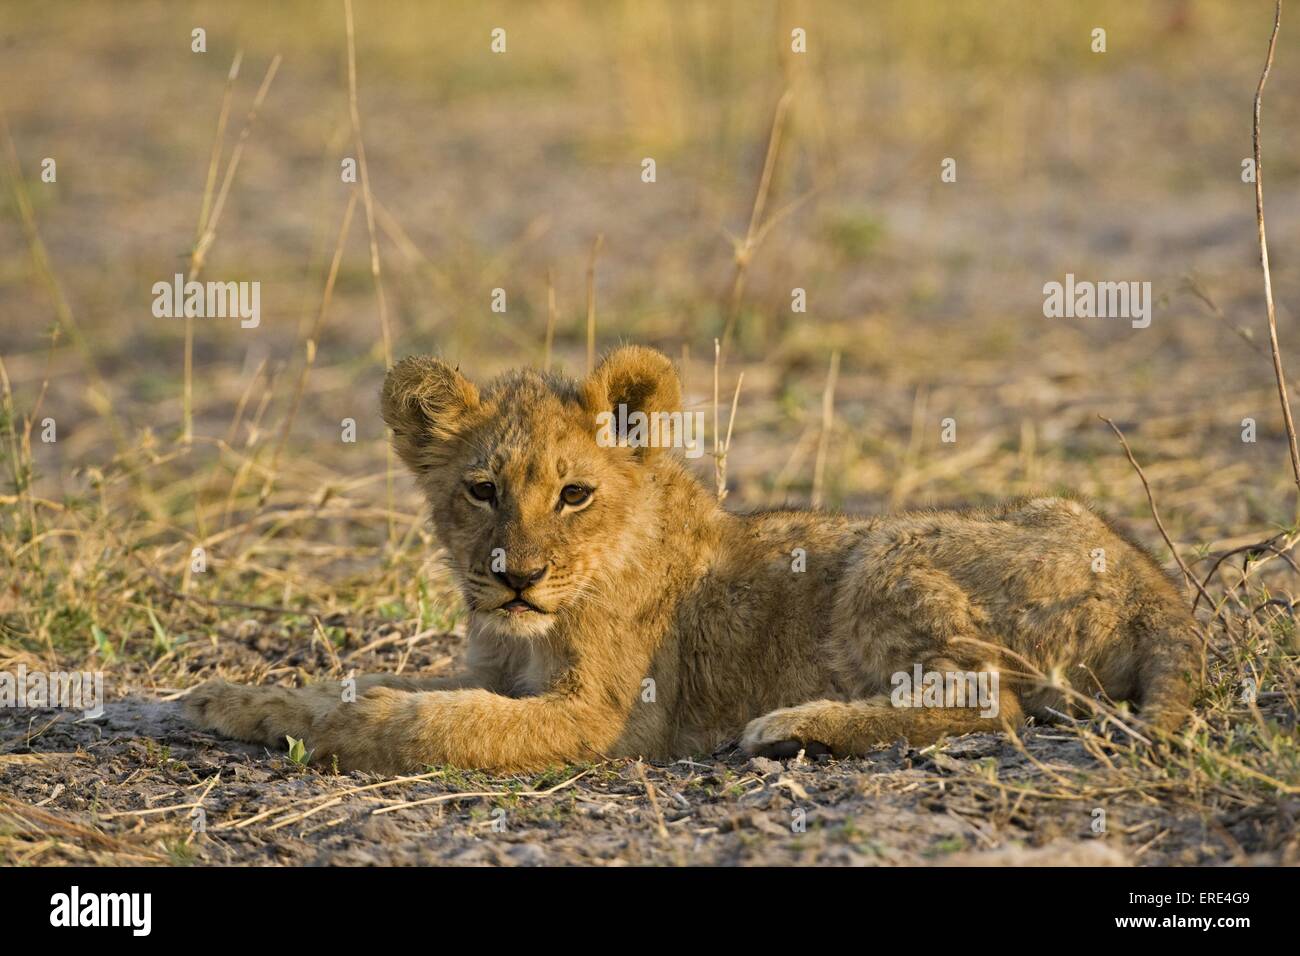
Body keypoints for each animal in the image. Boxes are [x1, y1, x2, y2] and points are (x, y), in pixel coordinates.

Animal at [185, 345, 1203, 774]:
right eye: (481, 491)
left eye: (574, 493)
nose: (516, 578)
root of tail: (1155, 585)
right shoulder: (497, 668)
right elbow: (381, 681)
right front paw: (239, 701)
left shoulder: (607, 718)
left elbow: (435, 722)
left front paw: (344, 725)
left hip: (889, 551)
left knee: (991, 703)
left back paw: (791, 728)